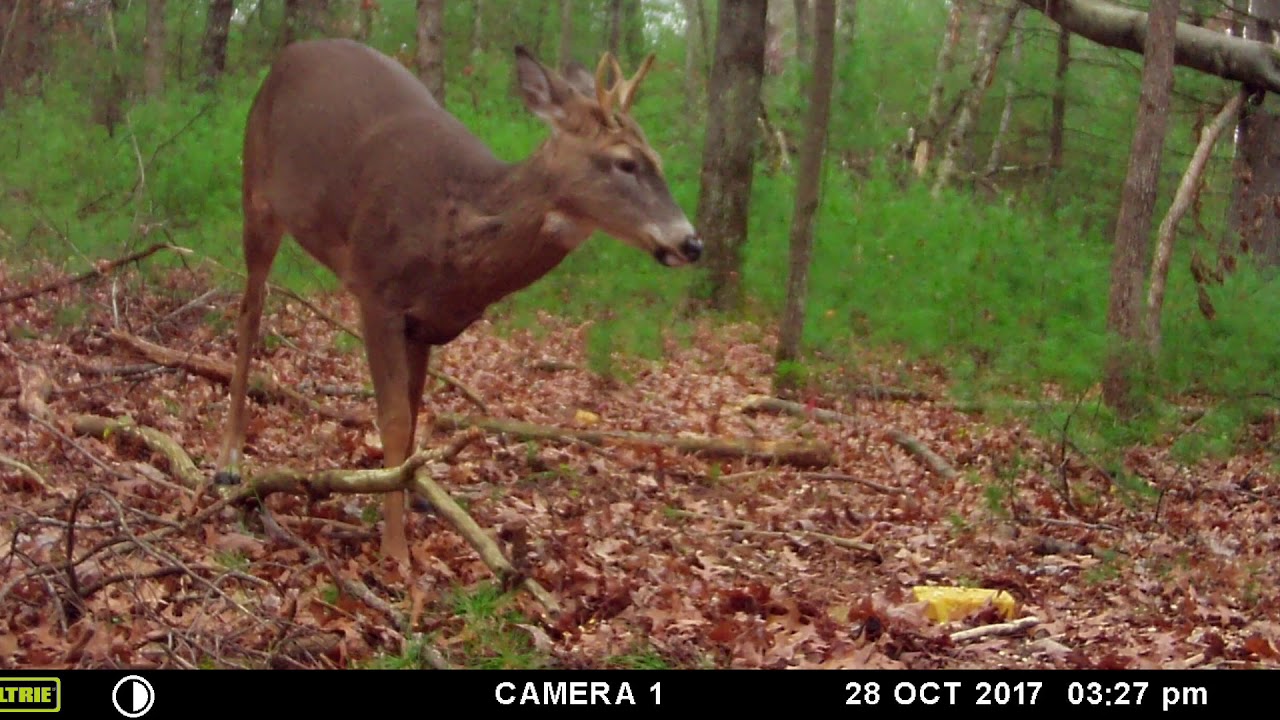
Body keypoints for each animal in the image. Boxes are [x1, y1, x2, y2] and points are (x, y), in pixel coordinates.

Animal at [212, 38, 702, 564]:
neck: (454, 233)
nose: (692, 243)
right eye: (625, 162)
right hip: (256, 194)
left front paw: (414, 497)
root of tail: (285, 58)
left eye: (657, 159)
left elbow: (413, 415)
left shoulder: (424, 323)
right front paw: (394, 552)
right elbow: (392, 418)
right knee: (250, 311)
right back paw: (228, 462)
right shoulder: (376, 291)